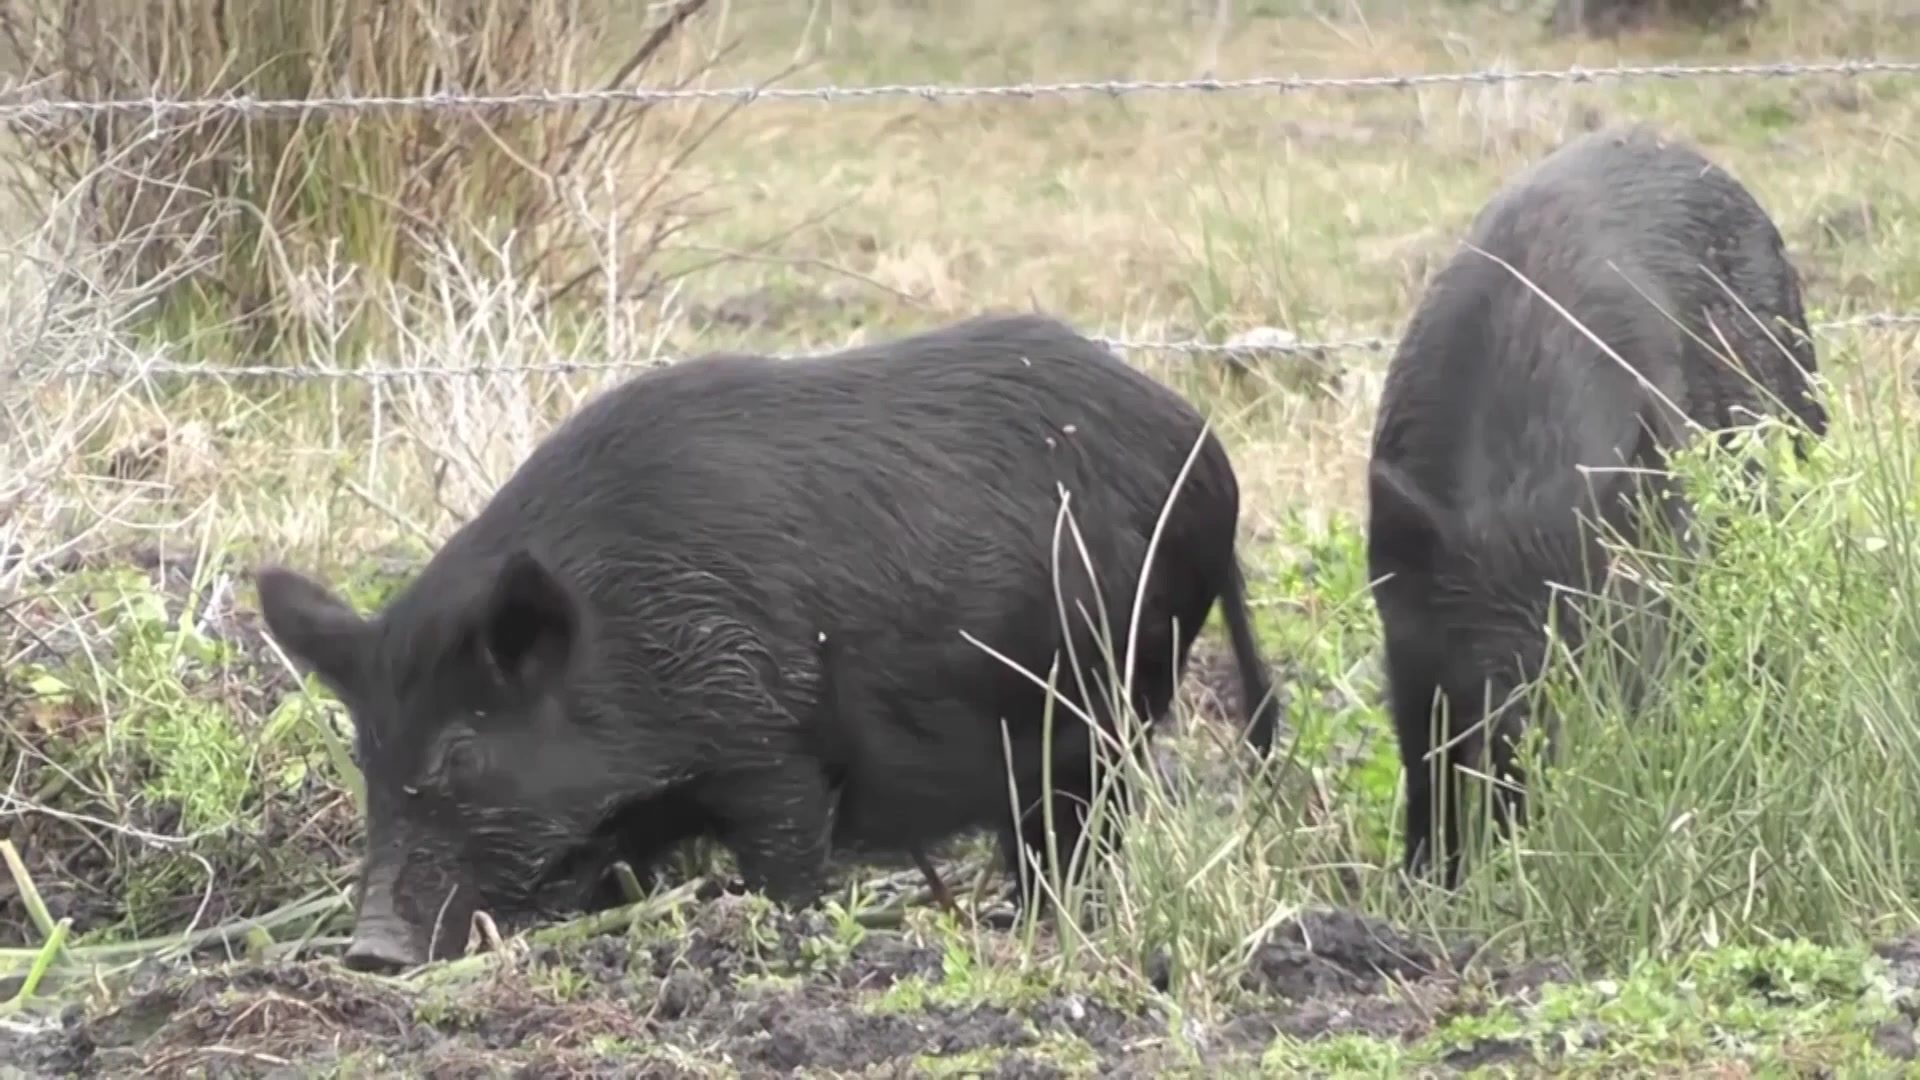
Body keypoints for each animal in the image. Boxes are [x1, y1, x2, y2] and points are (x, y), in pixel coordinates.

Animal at [256, 312, 1282, 972]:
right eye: (368, 755)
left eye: (461, 751)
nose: (369, 950)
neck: (623, 638)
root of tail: (1210, 454)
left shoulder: (771, 745)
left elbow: (786, 863)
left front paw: (779, 933)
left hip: (1116, 696)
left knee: (1082, 827)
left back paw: (1043, 928)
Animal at [1366, 123, 1827, 890]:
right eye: (1511, 688)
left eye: (1623, 659)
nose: (1606, 799)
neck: (1519, 474)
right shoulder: (1408, 637)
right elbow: (1425, 759)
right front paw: (1428, 888)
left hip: (1799, 411)